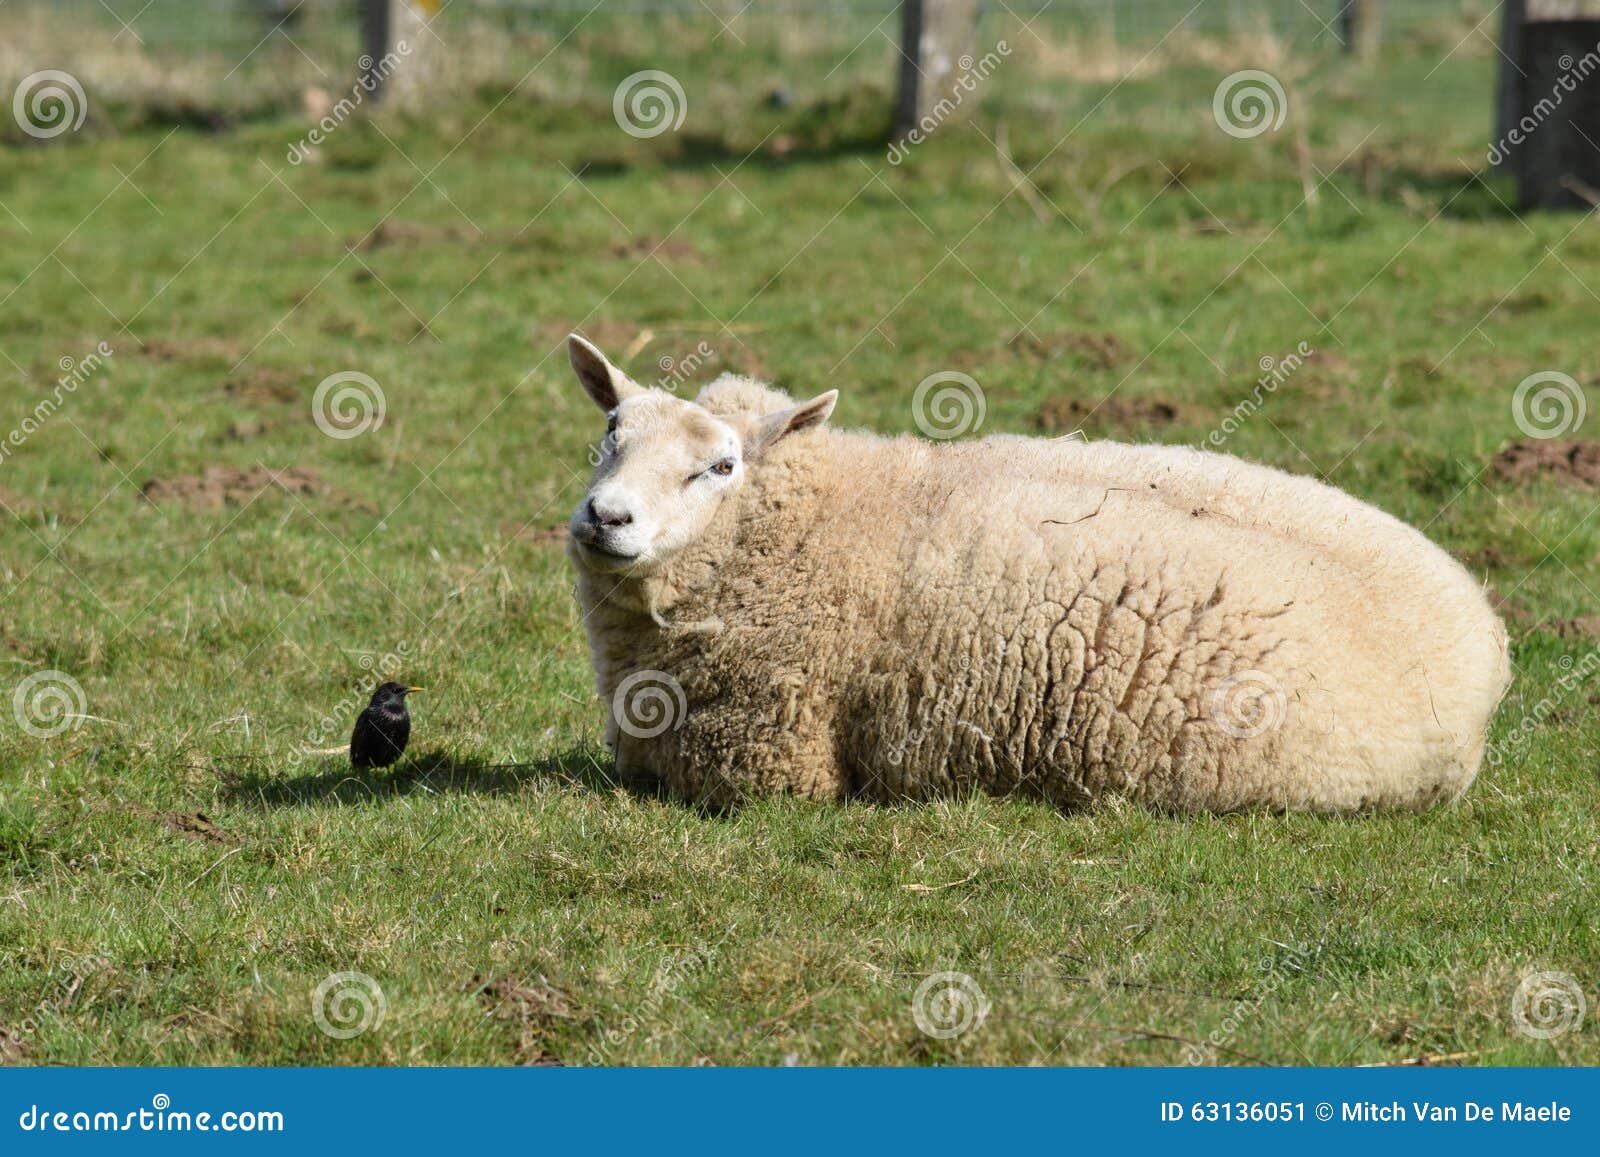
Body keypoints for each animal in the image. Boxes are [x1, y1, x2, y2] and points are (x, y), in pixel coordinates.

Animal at [563, 334, 1511, 813]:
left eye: (720, 467)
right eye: (611, 430)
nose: (606, 517)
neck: (836, 508)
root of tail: (1483, 643)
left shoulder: (769, 764)